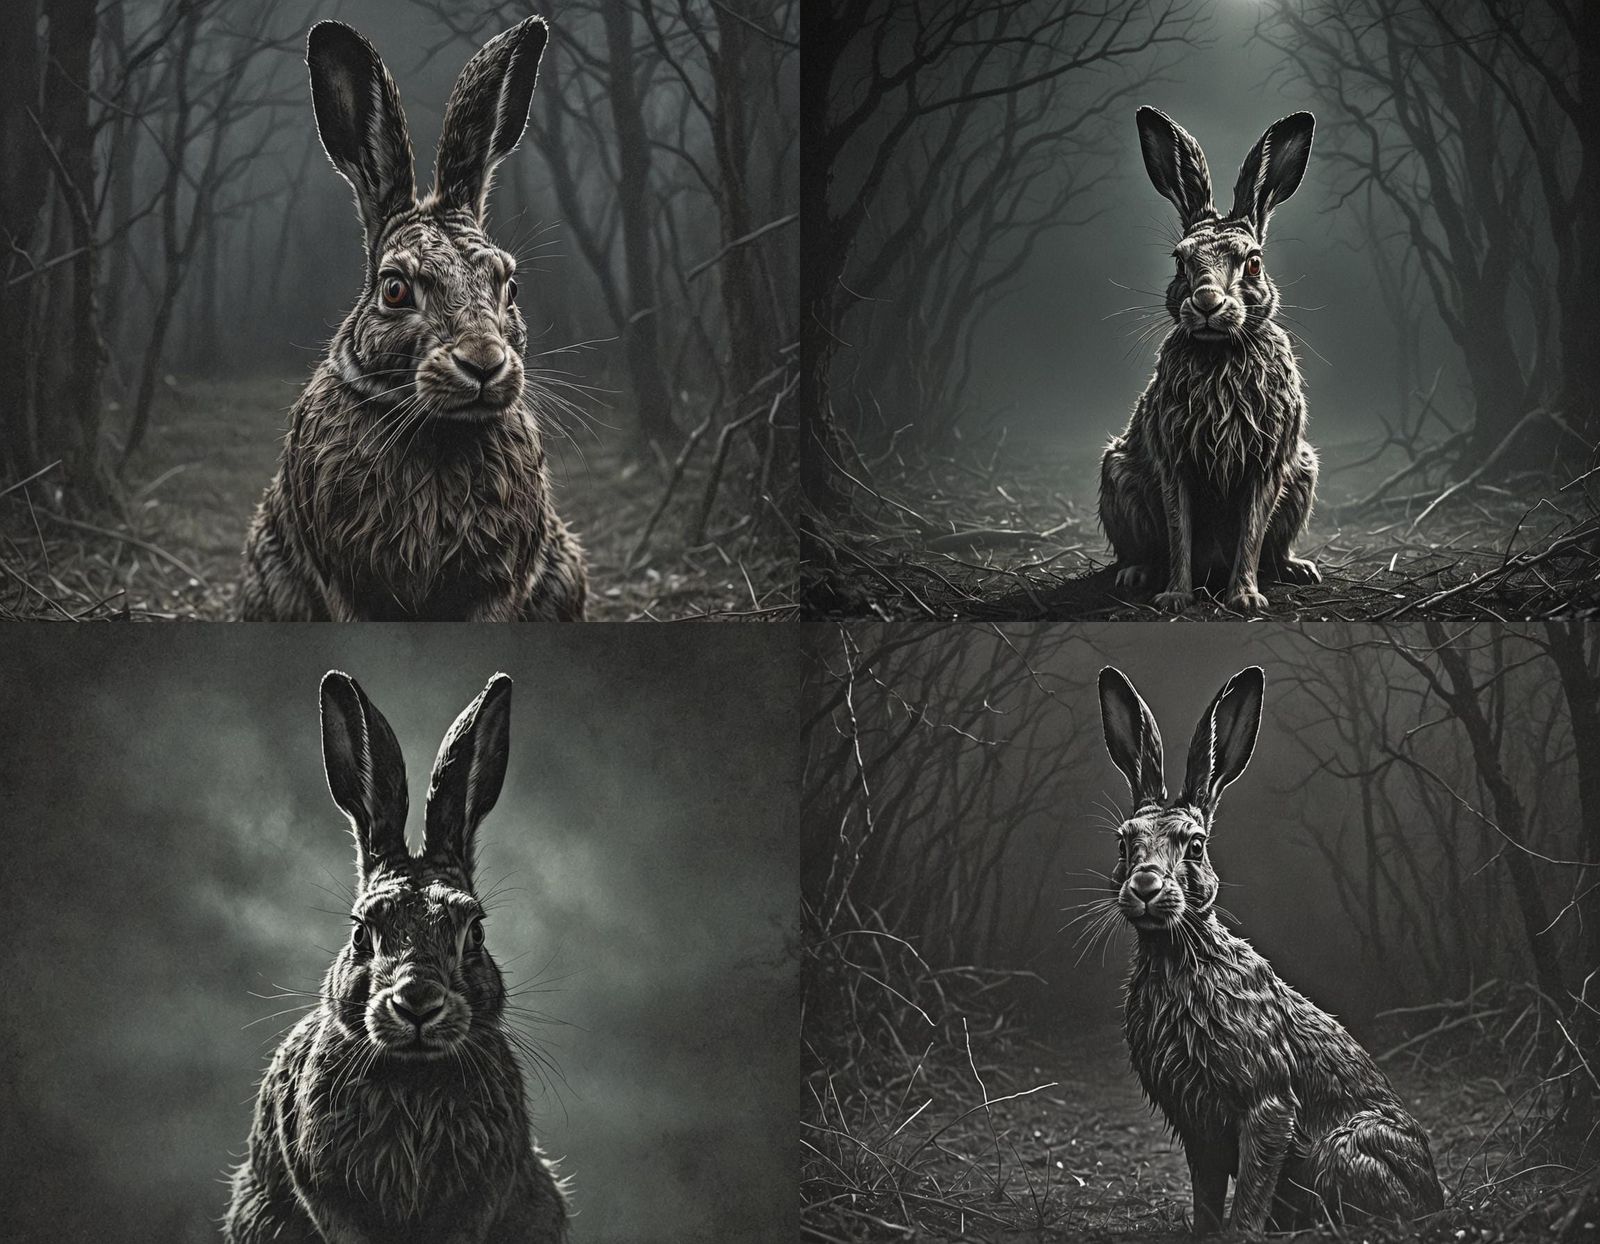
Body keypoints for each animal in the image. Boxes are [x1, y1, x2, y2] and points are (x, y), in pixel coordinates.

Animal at [224, 671, 569, 1243]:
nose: (418, 1002)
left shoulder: (479, 1195)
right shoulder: (326, 1191)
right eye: (361, 933)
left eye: (475, 932)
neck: (414, 1075)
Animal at [238, 18, 587, 622]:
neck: (438, 428)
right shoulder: (349, 583)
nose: (483, 364)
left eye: (510, 286)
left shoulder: (496, 586)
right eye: (395, 289)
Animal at [1094, 665, 1445, 1233]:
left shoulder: (1267, 1105)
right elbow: (1207, 1196)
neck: (1181, 955)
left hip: (1345, 1153)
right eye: (1124, 843)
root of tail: (1434, 1193)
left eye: (1195, 846)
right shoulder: (1199, 1130)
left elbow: (1251, 1196)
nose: (1145, 886)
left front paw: (1239, 1235)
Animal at [1100, 107, 1322, 613]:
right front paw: (1175, 597)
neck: (1220, 349)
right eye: (1179, 261)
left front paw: (1245, 598)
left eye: (1254, 263)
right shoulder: (1174, 462)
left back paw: (1298, 568)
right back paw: (1136, 573)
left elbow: (1252, 535)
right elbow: (1179, 532)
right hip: (1118, 477)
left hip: (1303, 472)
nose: (1206, 301)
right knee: (1144, 547)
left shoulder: (1268, 465)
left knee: (1274, 548)